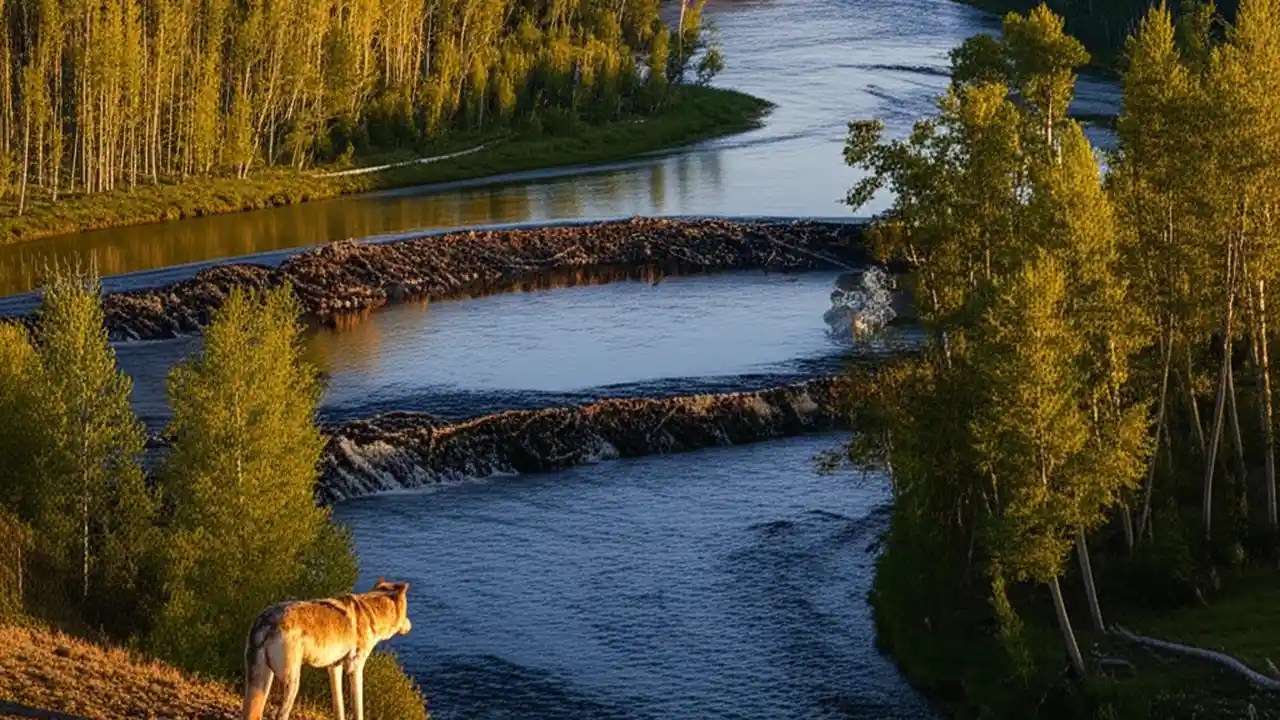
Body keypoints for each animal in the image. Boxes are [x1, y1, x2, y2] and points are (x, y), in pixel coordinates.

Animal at [241, 579, 413, 720]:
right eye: (407, 611)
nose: (410, 625)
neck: (370, 612)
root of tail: (265, 623)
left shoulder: (334, 667)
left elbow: (339, 707)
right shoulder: (355, 669)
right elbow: (358, 710)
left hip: (259, 682)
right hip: (291, 684)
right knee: (279, 715)